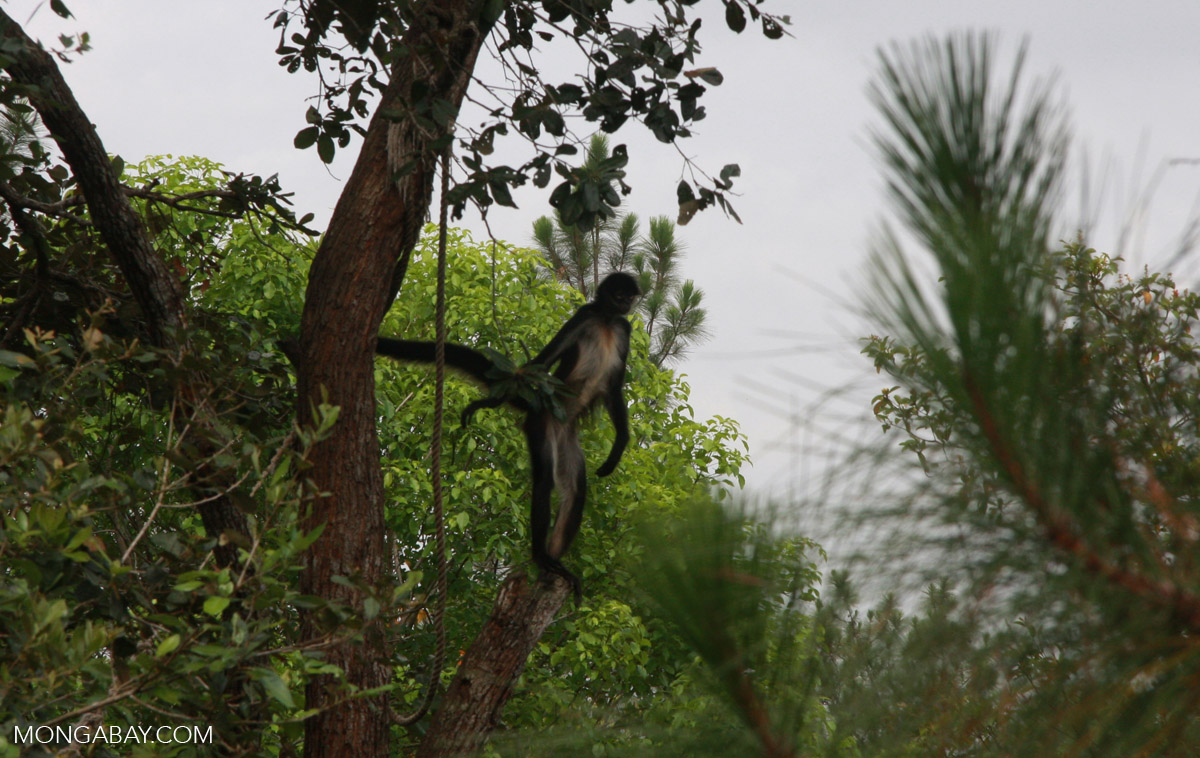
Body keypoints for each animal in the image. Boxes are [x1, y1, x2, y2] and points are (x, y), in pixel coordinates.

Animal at [376, 271, 641, 597]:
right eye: (619, 295)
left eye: (629, 297)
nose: (626, 304)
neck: (605, 321)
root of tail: (542, 405)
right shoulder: (584, 316)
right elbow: (539, 362)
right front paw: (488, 403)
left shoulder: (623, 328)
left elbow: (614, 387)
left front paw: (618, 448)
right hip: (541, 424)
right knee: (544, 481)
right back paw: (542, 558)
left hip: (566, 434)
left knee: (576, 490)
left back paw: (554, 564)